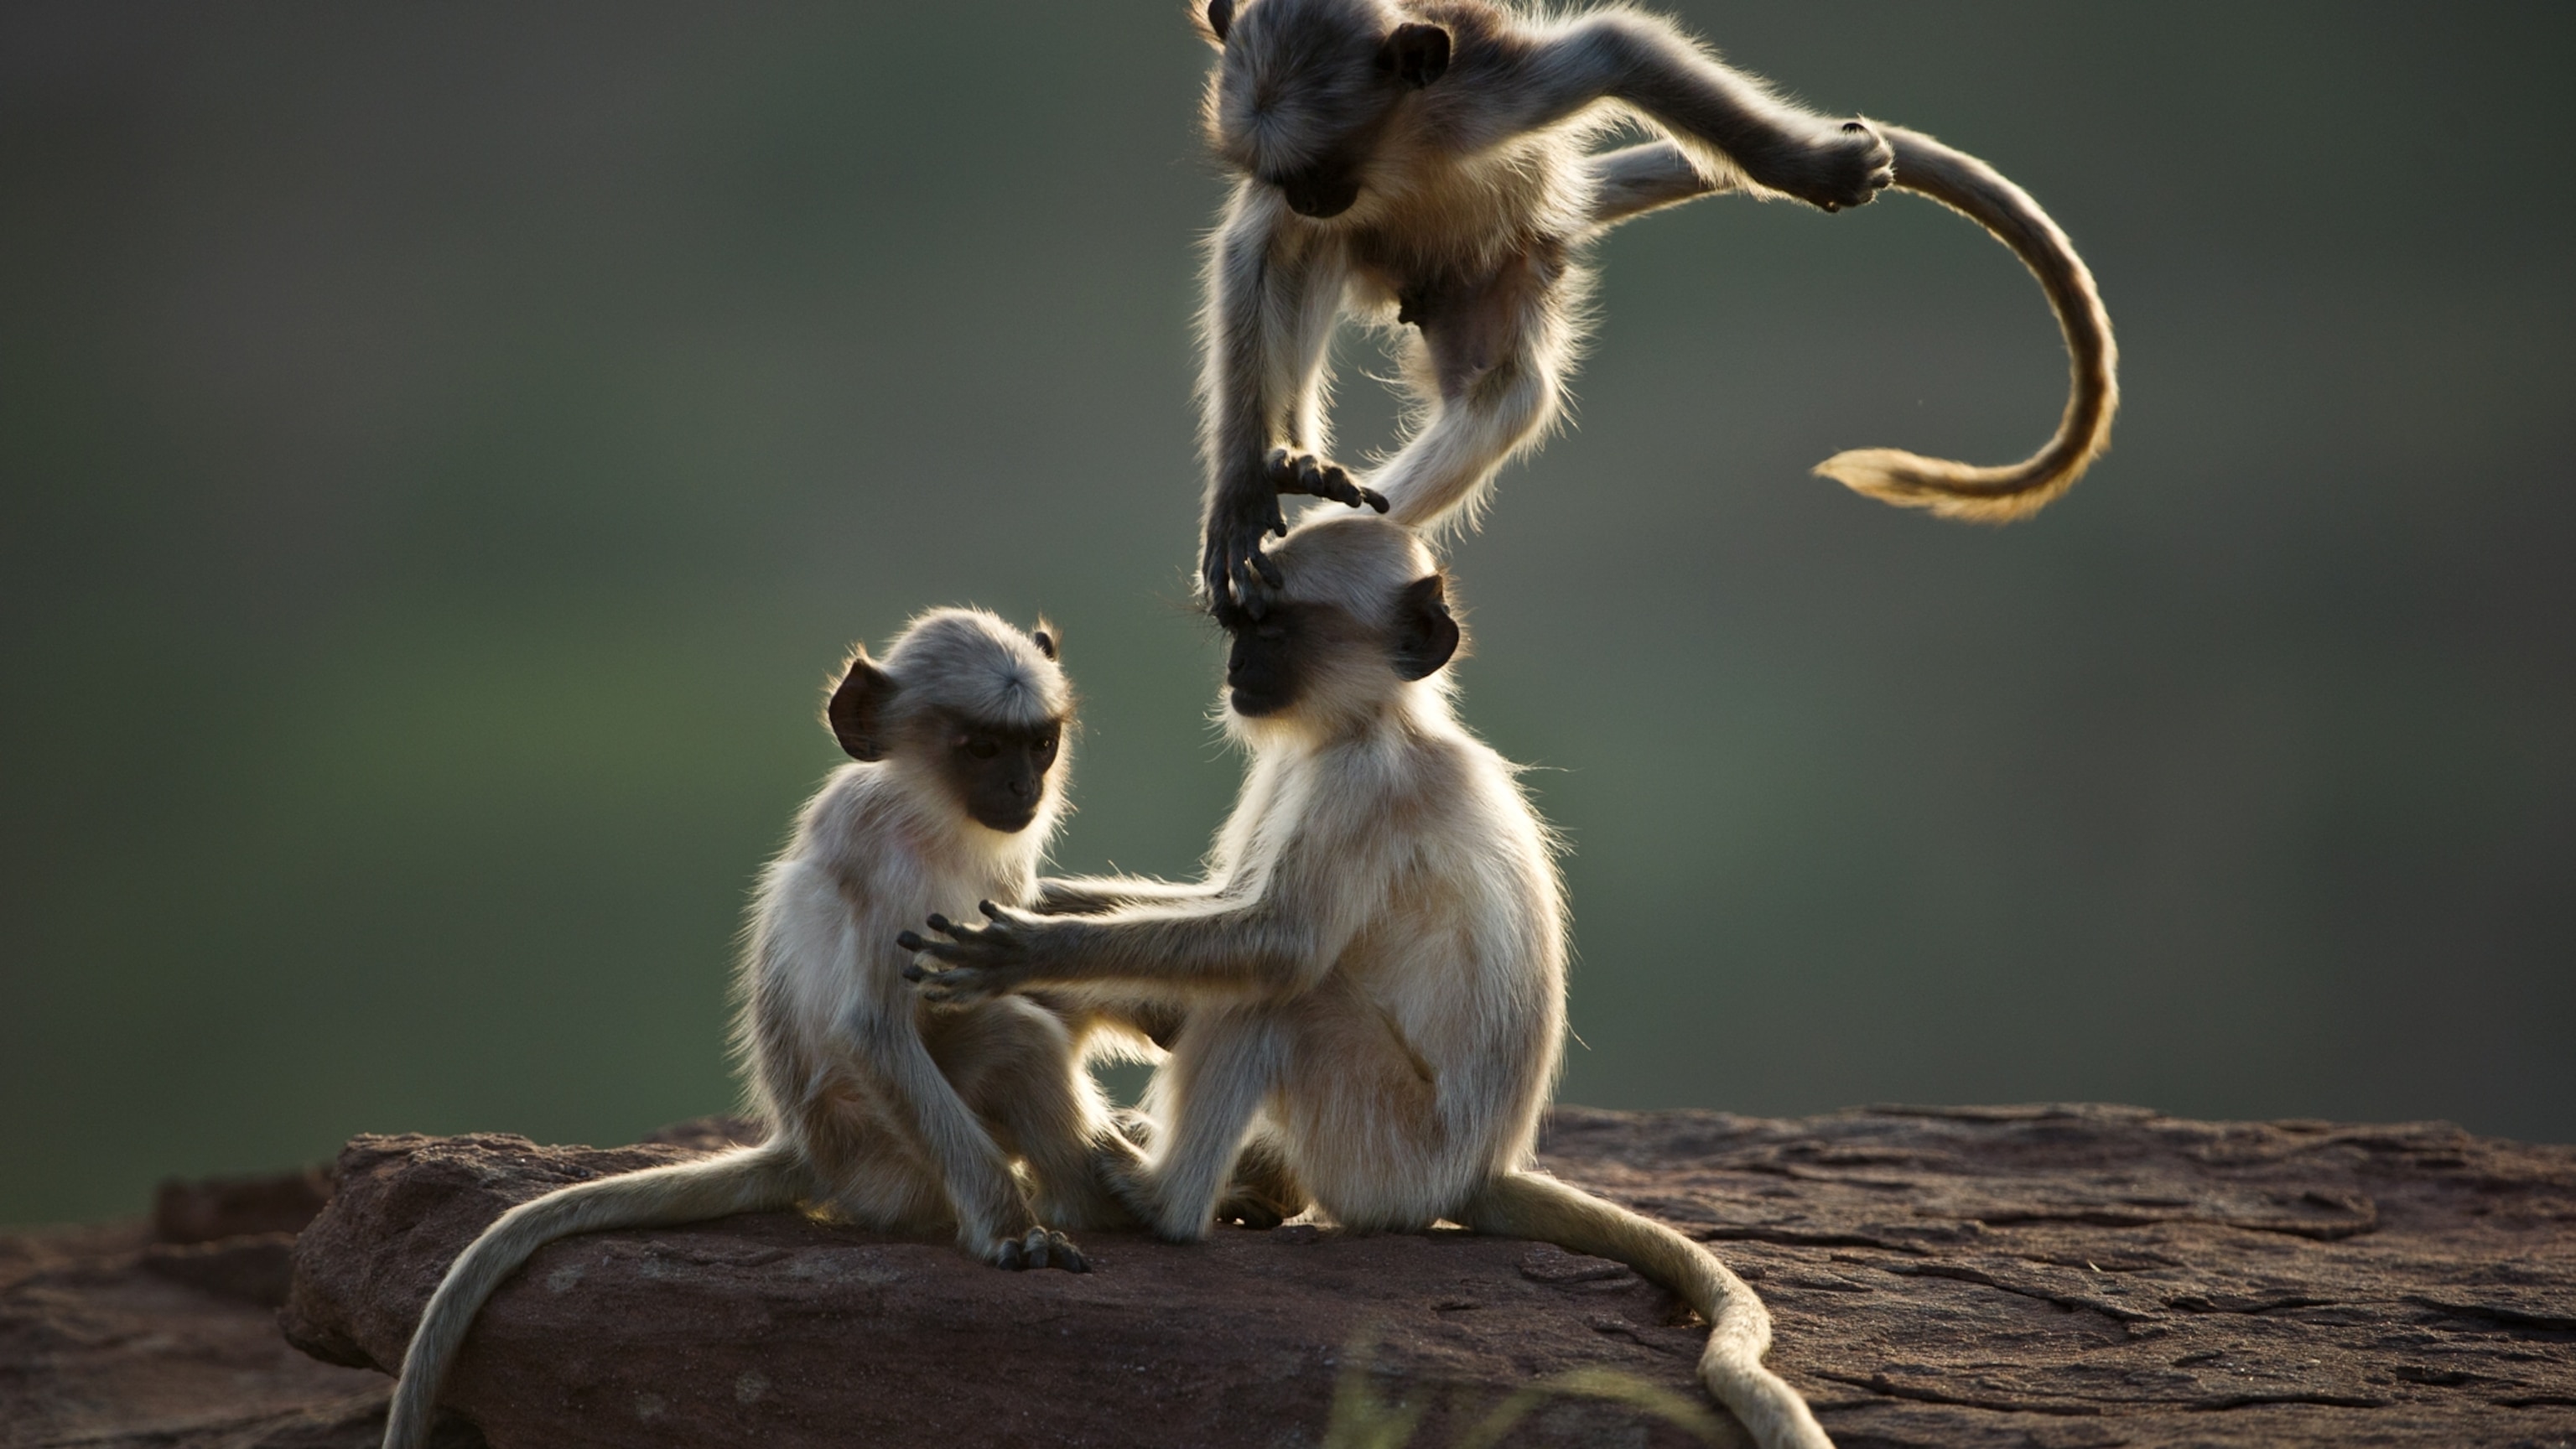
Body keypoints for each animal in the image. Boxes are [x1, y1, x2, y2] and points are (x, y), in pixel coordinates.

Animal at [380, 609, 1147, 1449]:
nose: (1022, 786)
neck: (937, 820)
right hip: (882, 1157)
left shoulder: (1000, 871)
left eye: (1037, 743)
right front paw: (1011, 1231)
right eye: (982, 747)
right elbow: (870, 1030)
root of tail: (806, 1150)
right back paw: (1097, 1204)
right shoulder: (877, 855)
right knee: (1015, 1039)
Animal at [905, 515, 1834, 1449]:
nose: (1239, 667)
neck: (1377, 724)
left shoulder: (1362, 786)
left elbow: (1276, 947)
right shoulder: (1291, 768)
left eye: (1274, 631)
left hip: (1383, 1154)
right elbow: (1224, 904)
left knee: (1281, 1001)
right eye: (1240, 626)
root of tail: (1477, 1169)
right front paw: (1045, 904)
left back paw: (1163, 1199)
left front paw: (1032, 949)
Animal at [1189, 0, 2119, 616]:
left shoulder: (1485, 94)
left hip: (1503, 269)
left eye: (1324, 170)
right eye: (1291, 176)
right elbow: (1253, 250)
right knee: (1302, 261)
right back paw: (1296, 460)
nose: (1310, 199)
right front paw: (1242, 484)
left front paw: (1804, 167)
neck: (1400, 151)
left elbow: (1617, 49)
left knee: (1509, 393)